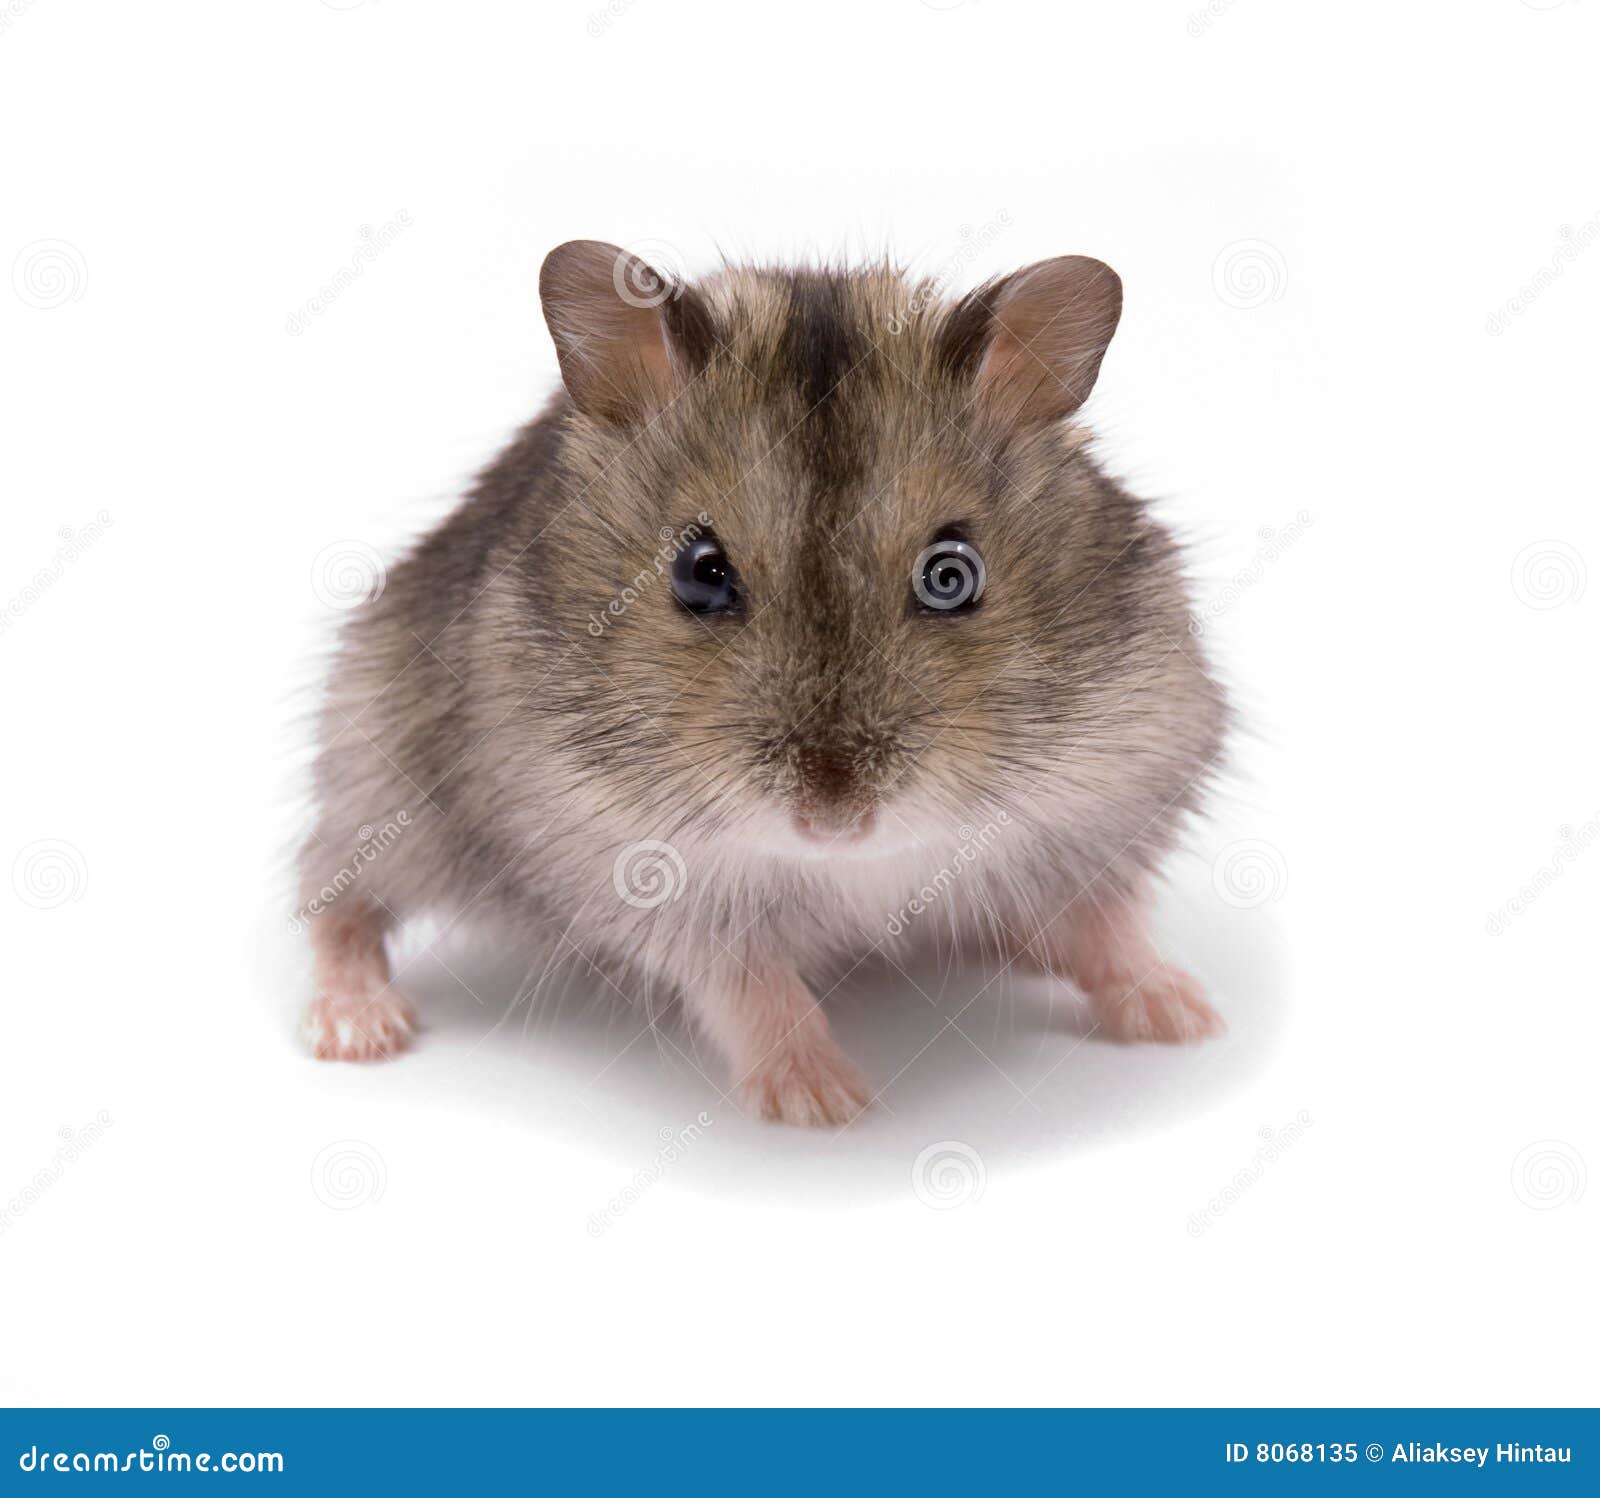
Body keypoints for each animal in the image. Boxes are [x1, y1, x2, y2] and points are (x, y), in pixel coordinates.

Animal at [298, 239, 1228, 1126]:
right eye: (700, 573)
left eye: (951, 575)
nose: (835, 819)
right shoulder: (634, 869)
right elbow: (750, 984)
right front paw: (826, 1105)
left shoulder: (1115, 792)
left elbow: (1110, 922)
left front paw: (1183, 1018)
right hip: (376, 772)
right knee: (333, 897)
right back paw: (357, 1029)